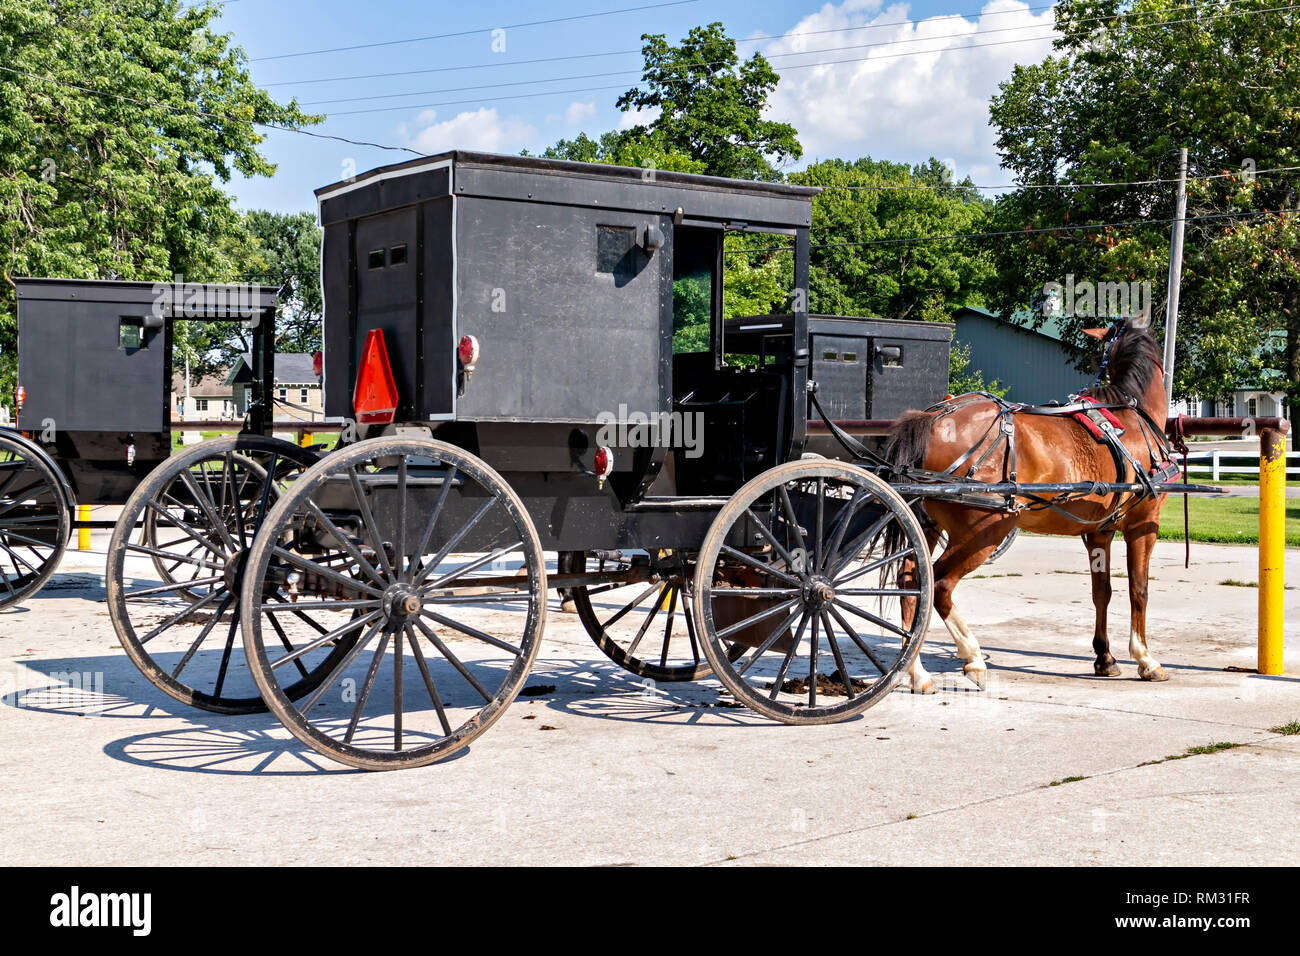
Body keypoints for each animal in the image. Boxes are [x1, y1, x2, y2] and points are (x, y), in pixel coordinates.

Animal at [884, 318, 1176, 693]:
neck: (1133, 416)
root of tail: (934, 418)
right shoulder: (1144, 523)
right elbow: (1139, 590)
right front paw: (1146, 659)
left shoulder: (1100, 531)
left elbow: (1103, 592)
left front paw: (1105, 658)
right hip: (986, 531)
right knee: (940, 585)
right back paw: (973, 657)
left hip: (927, 526)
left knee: (912, 583)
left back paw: (917, 671)